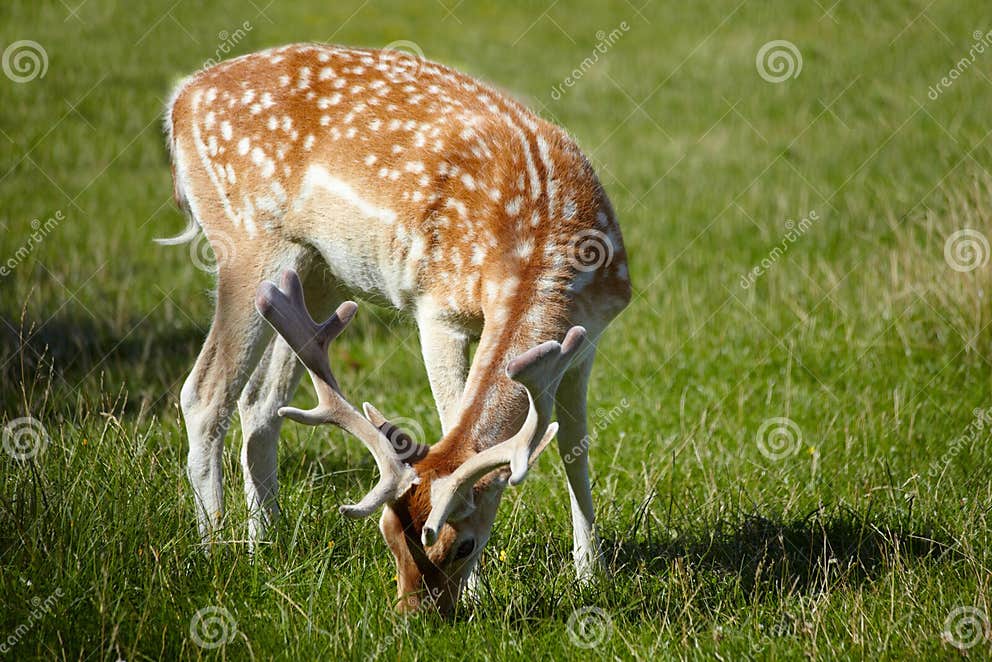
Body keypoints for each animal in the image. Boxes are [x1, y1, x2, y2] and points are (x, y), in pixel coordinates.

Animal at [161, 42, 630, 614]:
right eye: (389, 535)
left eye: (462, 545)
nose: (412, 617)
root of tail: (180, 101)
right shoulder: (438, 309)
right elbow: (456, 421)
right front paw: (482, 592)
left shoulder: (588, 336)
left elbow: (574, 448)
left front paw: (590, 575)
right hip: (246, 241)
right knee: (204, 393)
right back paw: (215, 552)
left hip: (313, 274)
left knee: (260, 402)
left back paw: (265, 545)